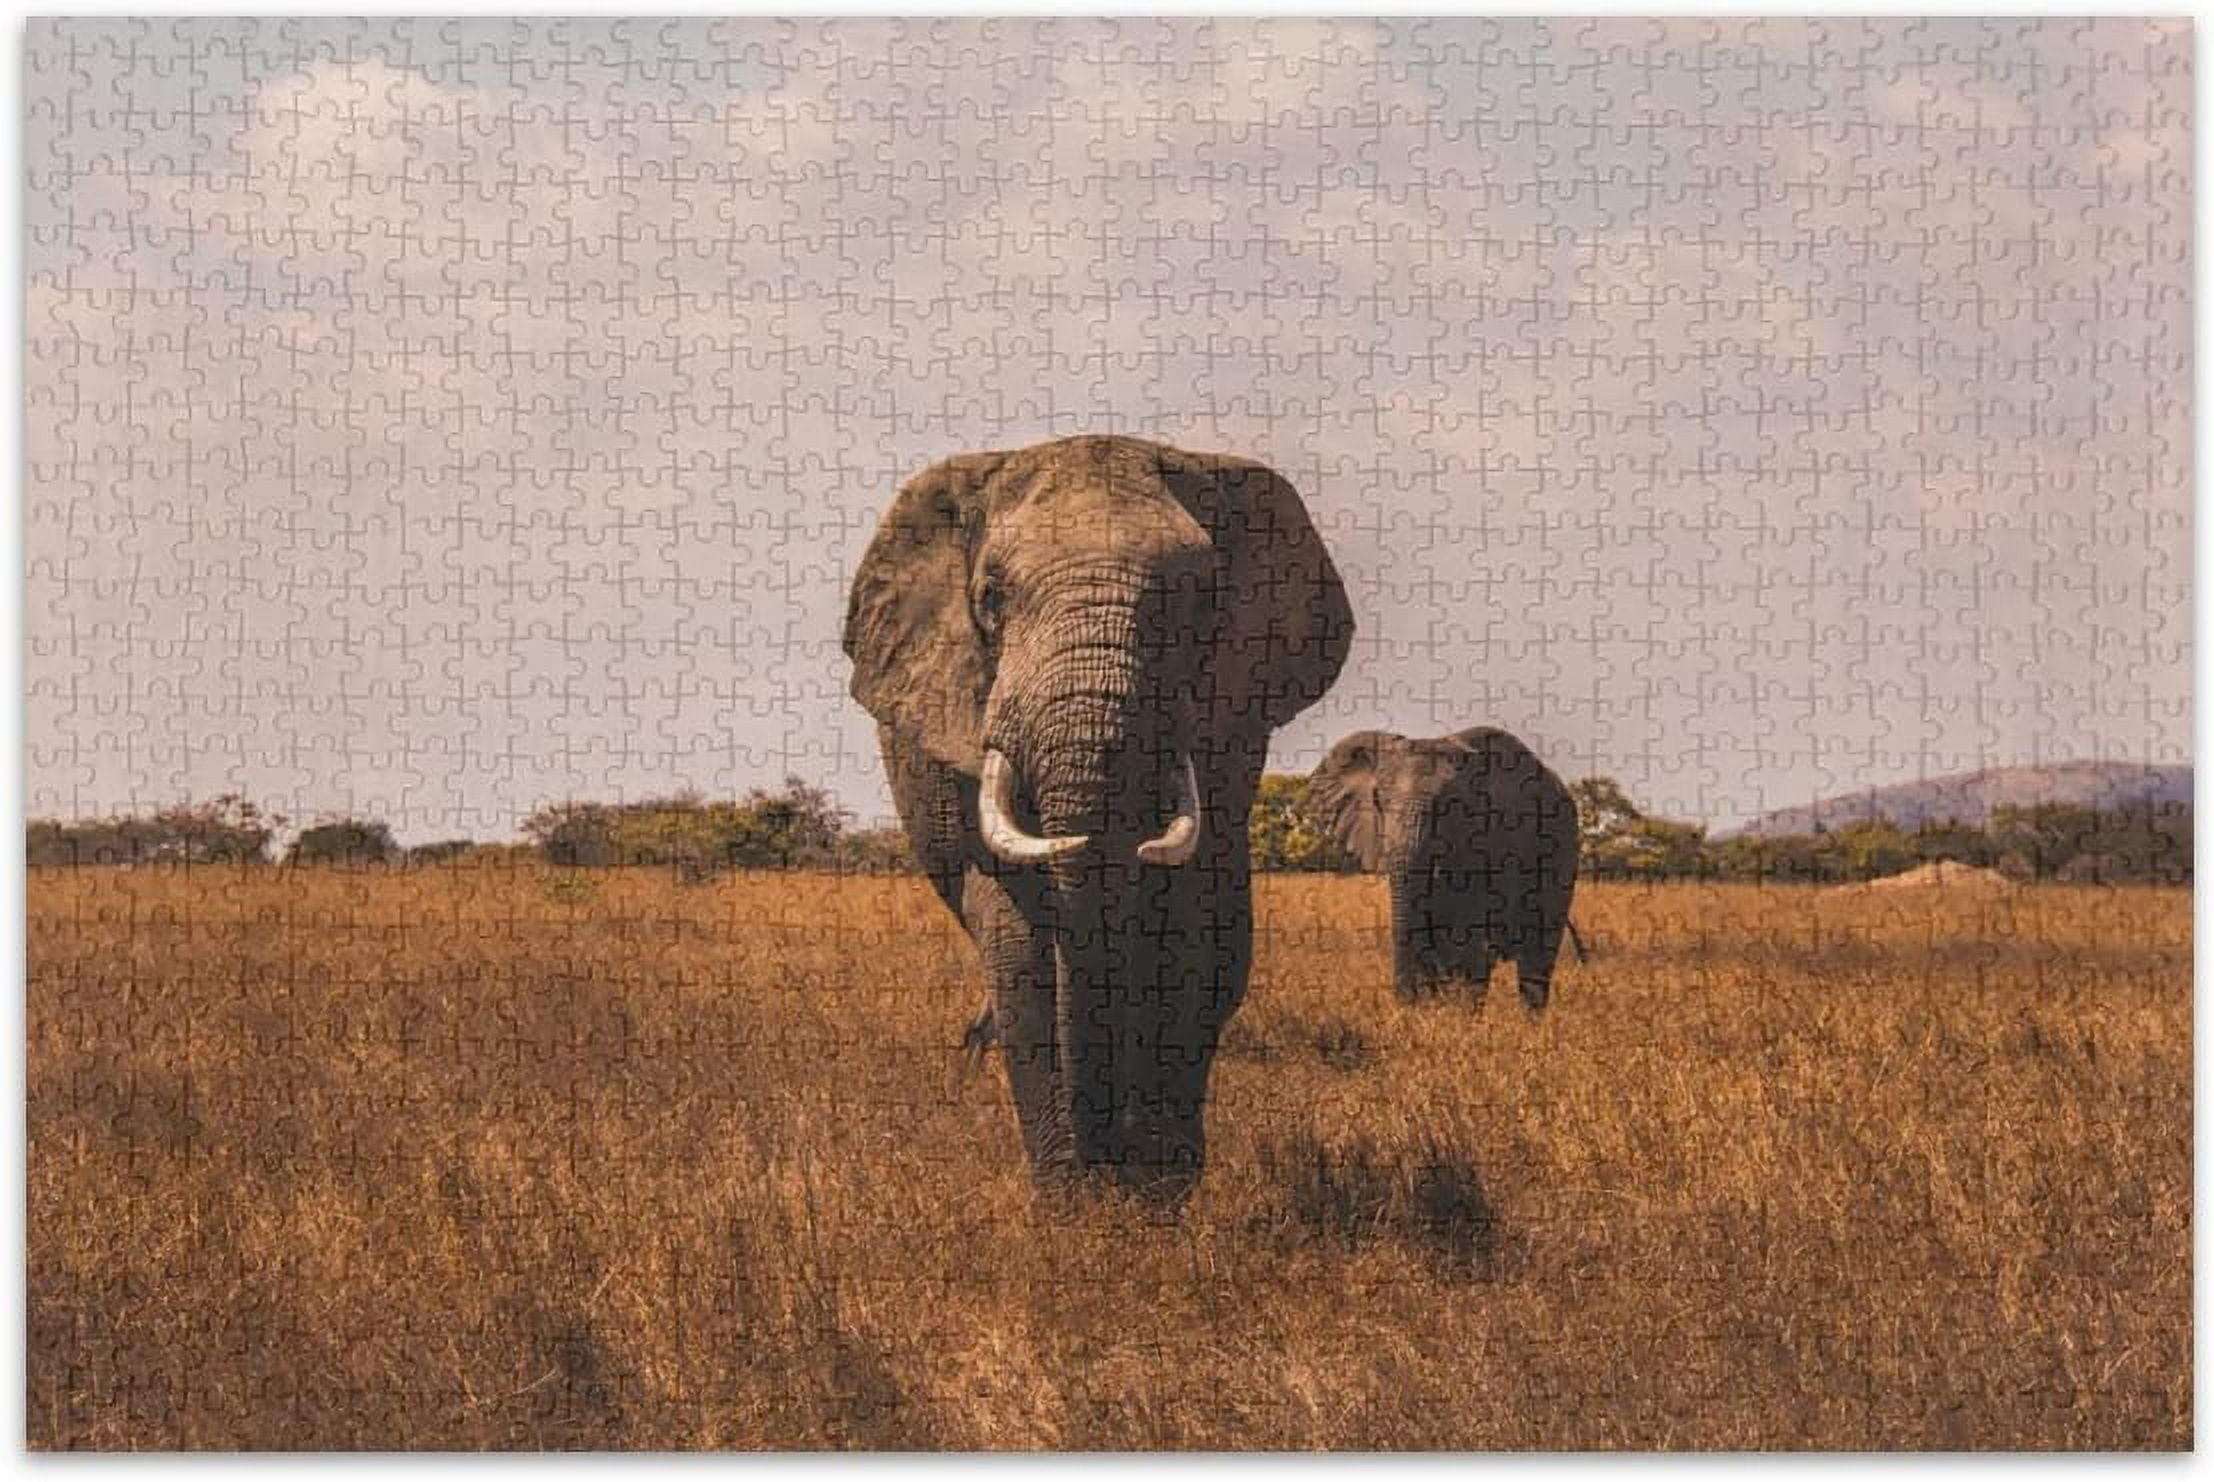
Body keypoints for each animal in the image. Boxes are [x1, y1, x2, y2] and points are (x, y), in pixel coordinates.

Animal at [843, 434, 1353, 1200]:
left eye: (1199, 598)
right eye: (990, 598)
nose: (1106, 1158)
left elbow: (1190, 934)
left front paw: (1156, 1191)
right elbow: (1019, 941)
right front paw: (1074, 1202)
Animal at [1307, 727, 1581, 1011]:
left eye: (1450, 806)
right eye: (1378, 801)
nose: (1406, 1001)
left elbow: (1468, 944)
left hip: (1562, 851)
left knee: (1536, 957)